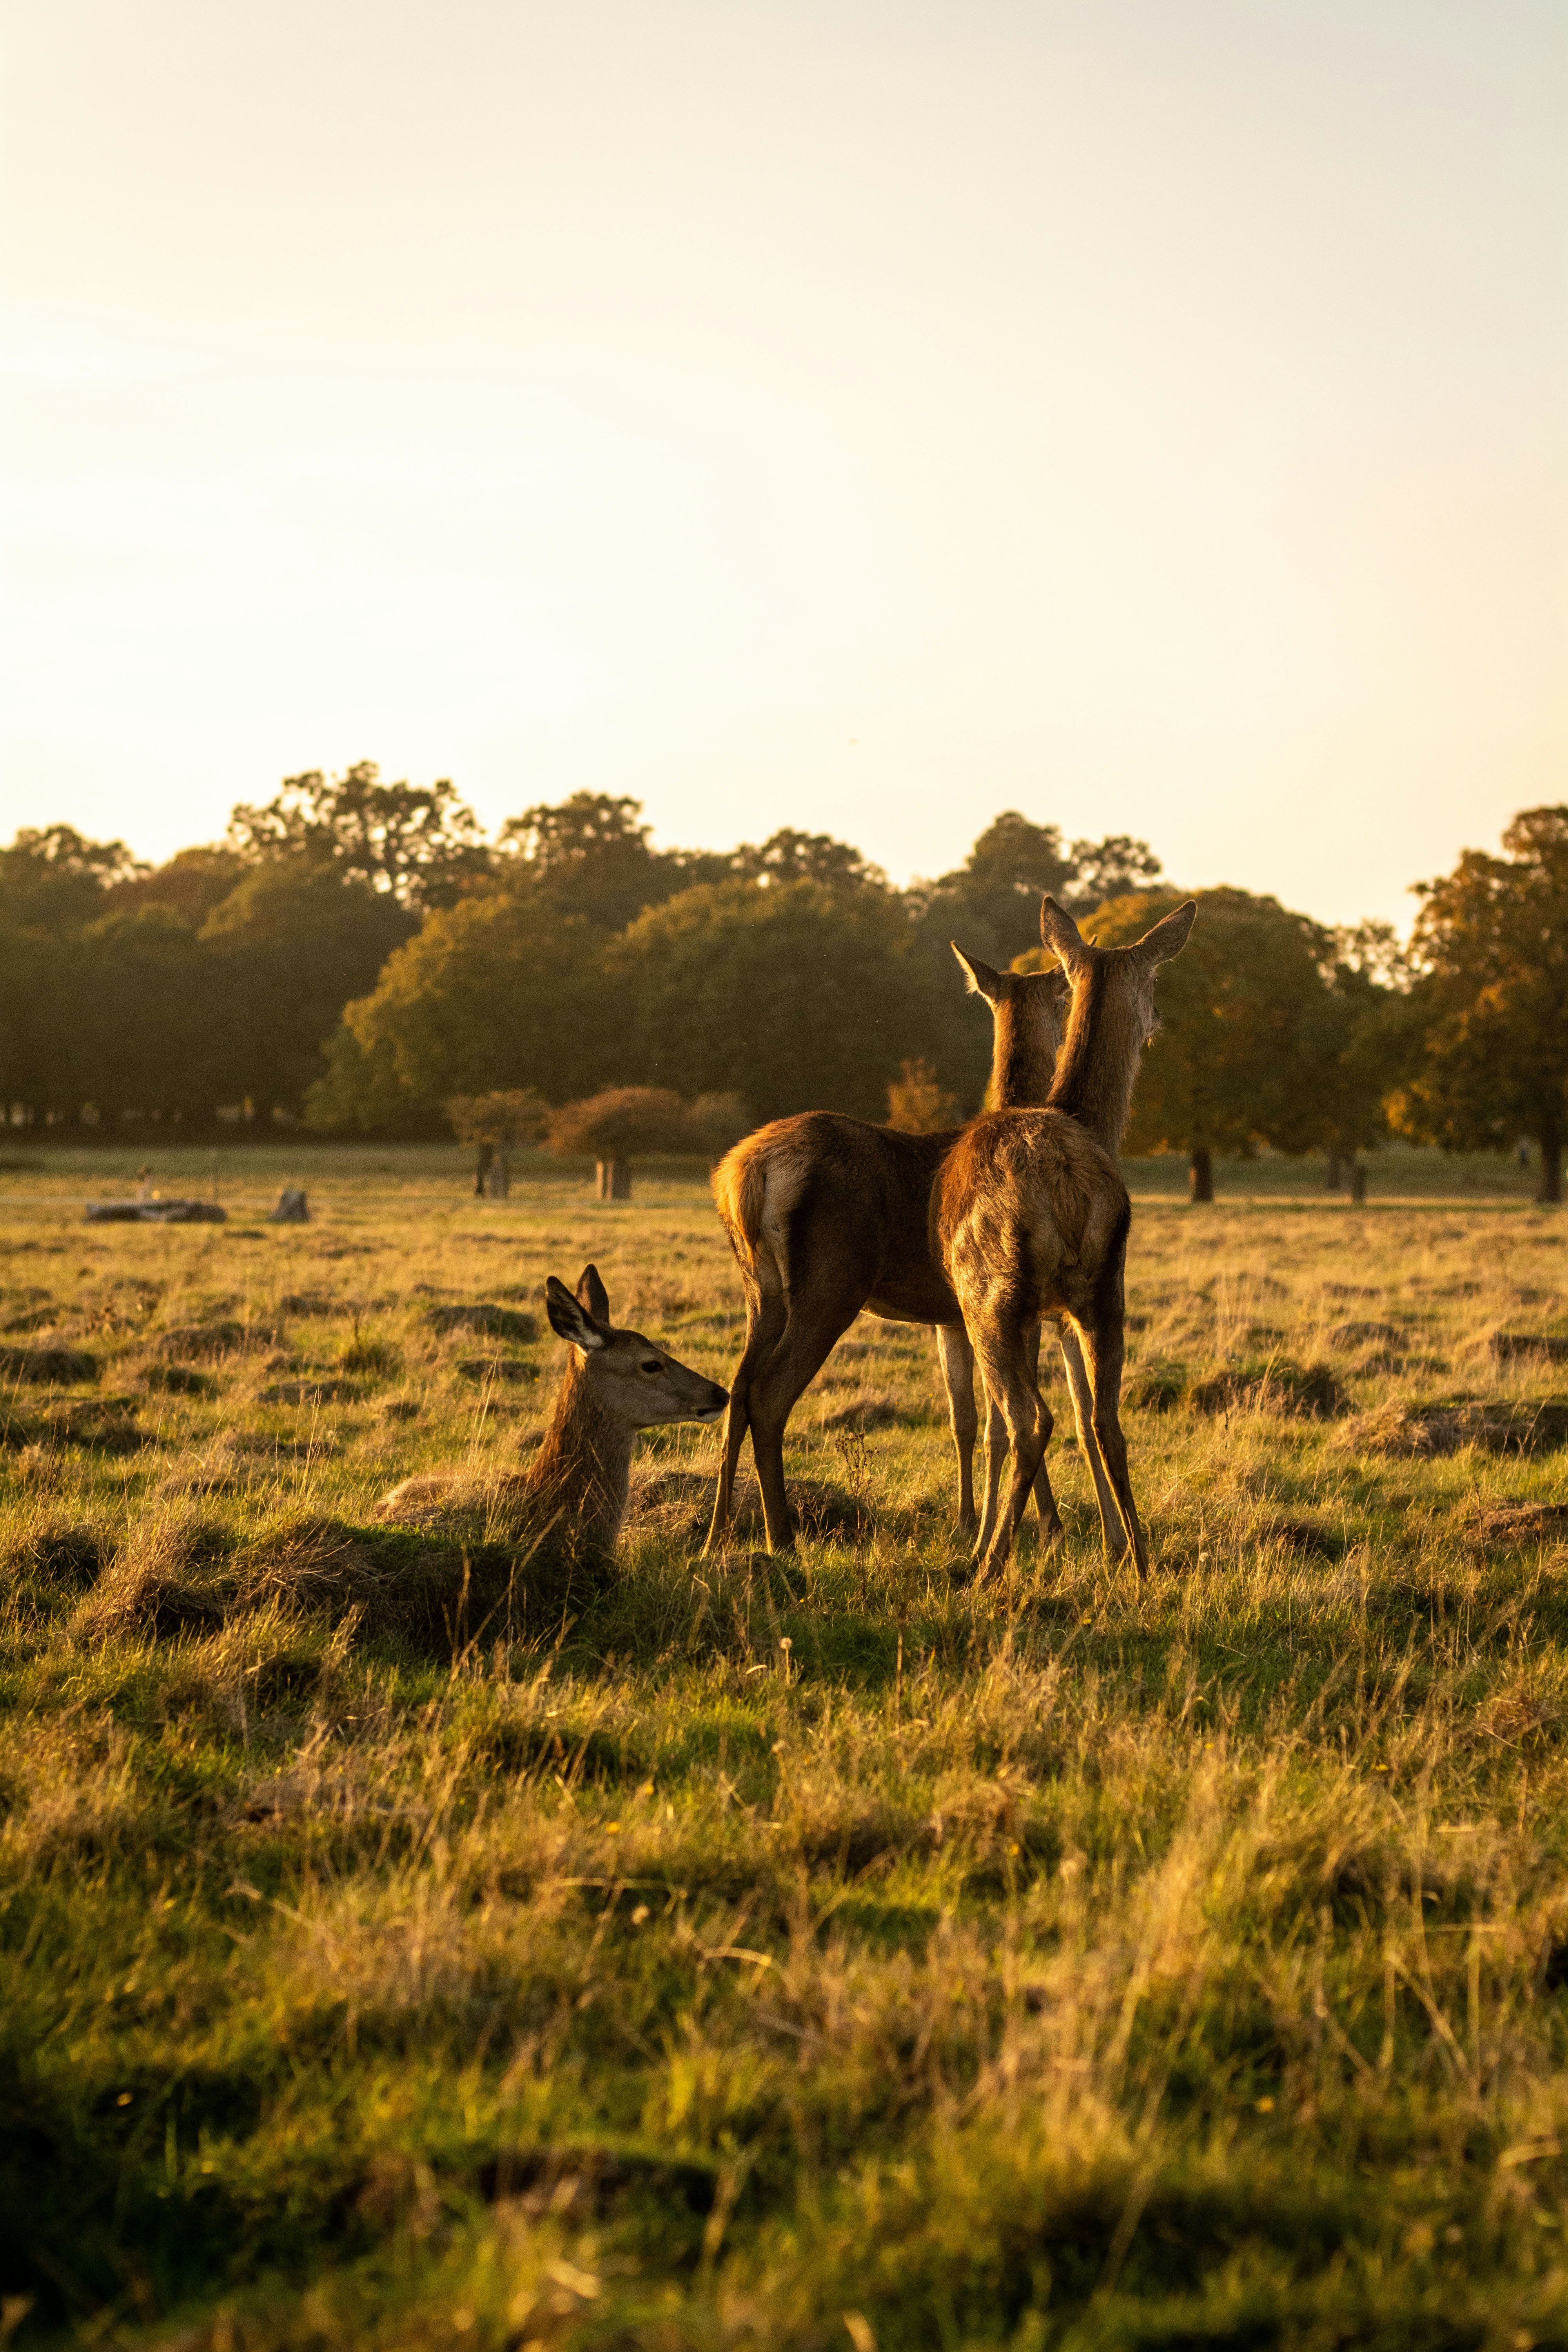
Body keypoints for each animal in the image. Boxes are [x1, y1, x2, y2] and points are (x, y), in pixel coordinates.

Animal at [705, 921, 1118, 1555]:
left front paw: (970, 1522)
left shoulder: (950, 1317)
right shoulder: (997, 1309)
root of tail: (745, 1175)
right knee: (768, 1394)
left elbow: (966, 1417)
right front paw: (1045, 1525)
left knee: (737, 1388)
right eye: (1062, 1000)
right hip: (831, 1283)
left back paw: (718, 1534)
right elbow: (1005, 1416)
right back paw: (782, 1539)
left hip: (761, 1289)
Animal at [934, 895, 1196, 1581]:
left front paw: (1013, 1533)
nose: (1160, 1022)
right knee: (1107, 1420)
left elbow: (1001, 1423)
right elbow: (1086, 1416)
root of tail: (1067, 1188)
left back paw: (989, 1565)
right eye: (1153, 980)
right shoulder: (1080, 1304)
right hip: (1106, 1291)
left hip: (993, 1297)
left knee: (1029, 1420)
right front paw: (1105, 1540)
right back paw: (1142, 1562)